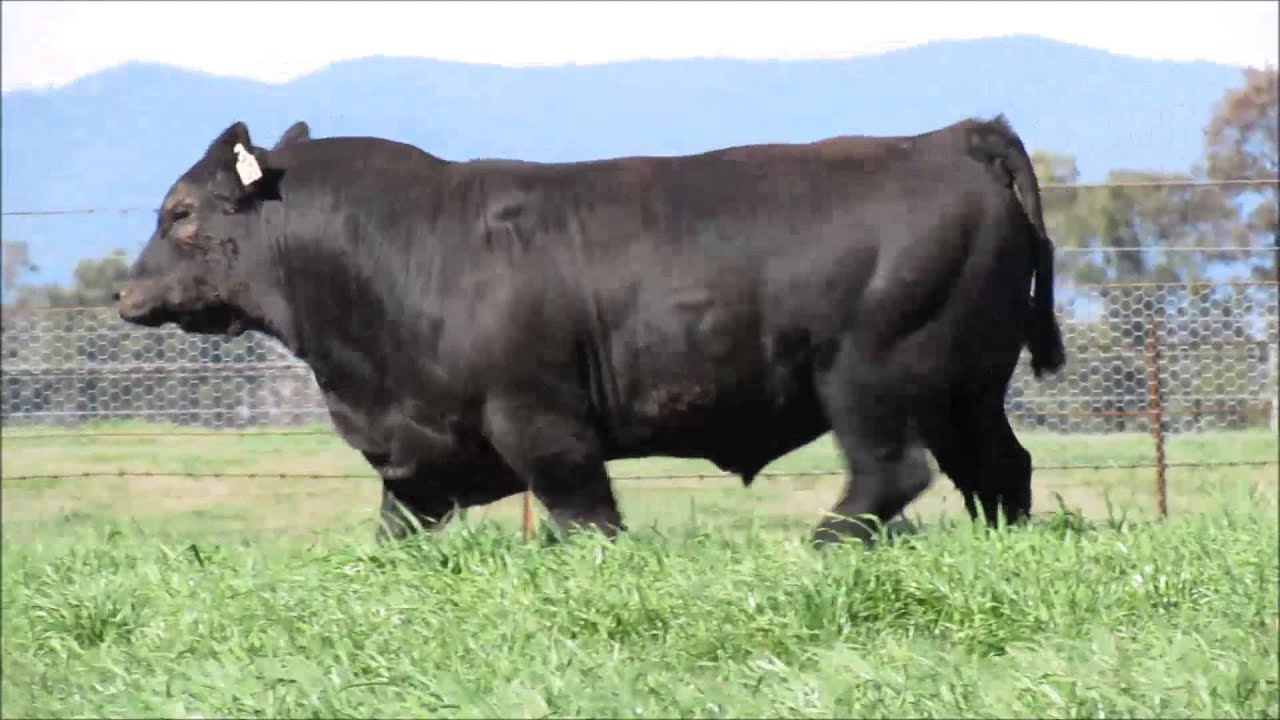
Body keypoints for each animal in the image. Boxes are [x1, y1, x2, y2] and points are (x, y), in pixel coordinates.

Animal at [115, 114, 1066, 547]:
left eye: (181, 211)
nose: (127, 296)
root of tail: (952, 138)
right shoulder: (419, 455)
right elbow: (395, 532)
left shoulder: (542, 423)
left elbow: (584, 518)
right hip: (967, 388)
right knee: (999, 471)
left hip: (869, 378)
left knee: (891, 474)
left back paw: (818, 546)